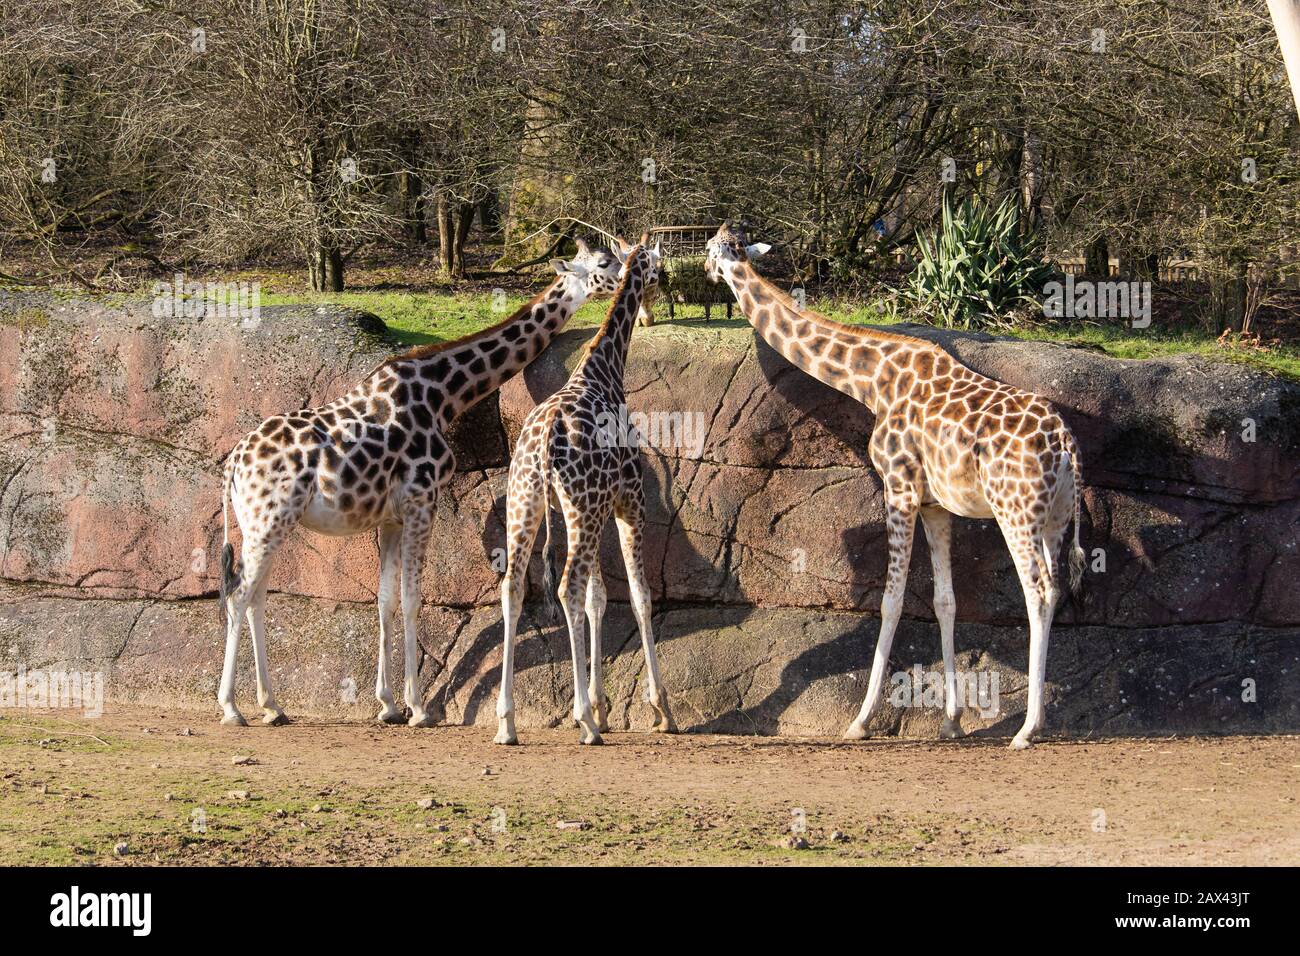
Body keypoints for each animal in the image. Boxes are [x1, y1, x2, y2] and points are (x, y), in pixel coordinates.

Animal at [215, 240, 627, 729]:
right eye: (603, 262)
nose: (633, 273)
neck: (442, 394)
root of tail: (233, 465)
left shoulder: (391, 518)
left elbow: (385, 600)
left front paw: (388, 703)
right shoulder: (421, 501)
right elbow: (413, 599)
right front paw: (418, 707)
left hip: (261, 524)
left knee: (256, 596)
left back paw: (272, 704)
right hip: (269, 520)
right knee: (239, 595)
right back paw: (231, 707)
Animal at [494, 239, 676, 746]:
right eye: (604, 262)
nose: (660, 283)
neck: (604, 370)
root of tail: (544, 442)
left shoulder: (596, 508)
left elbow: (599, 598)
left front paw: (602, 703)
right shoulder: (629, 502)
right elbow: (638, 595)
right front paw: (659, 708)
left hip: (529, 505)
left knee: (513, 586)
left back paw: (507, 722)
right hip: (581, 507)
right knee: (566, 586)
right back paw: (583, 722)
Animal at [704, 223, 1085, 749]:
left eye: (708, 250)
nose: (704, 272)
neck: (871, 380)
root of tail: (1066, 444)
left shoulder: (898, 487)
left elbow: (890, 601)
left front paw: (859, 722)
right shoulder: (935, 505)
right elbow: (945, 602)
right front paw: (950, 721)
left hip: (1015, 511)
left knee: (1040, 591)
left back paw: (1028, 728)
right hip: (1055, 518)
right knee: (1056, 586)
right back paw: (1033, 720)